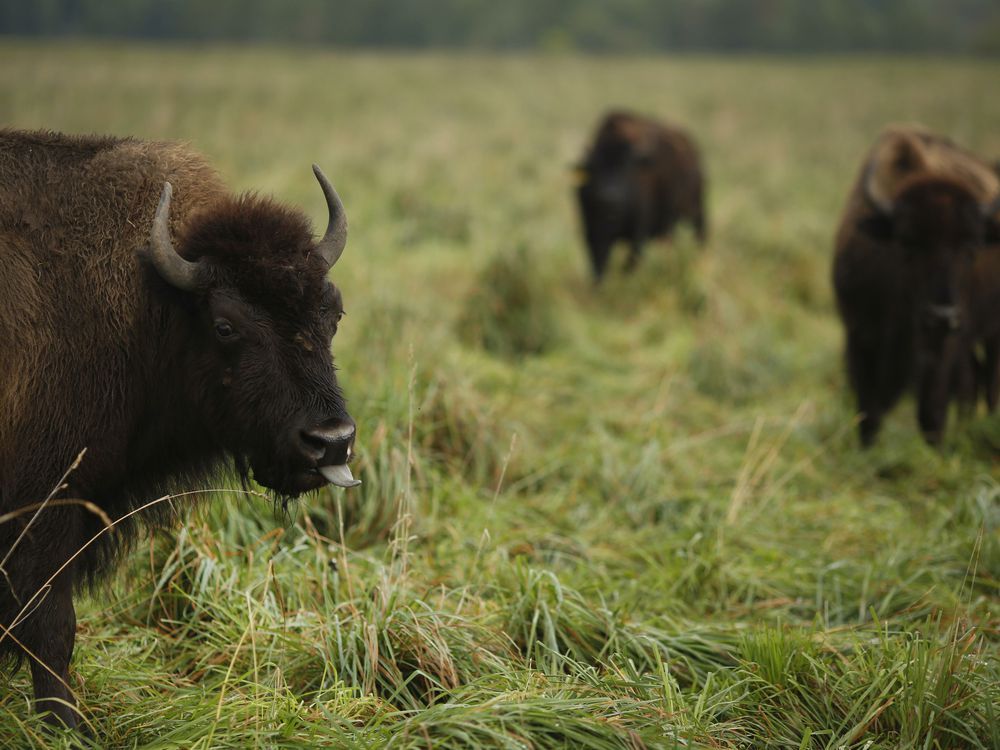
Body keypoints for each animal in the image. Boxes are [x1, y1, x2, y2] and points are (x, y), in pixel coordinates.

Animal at [0, 129, 360, 728]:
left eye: (332, 313)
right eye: (225, 325)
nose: (330, 442)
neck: (148, 305)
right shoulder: (45, 506)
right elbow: (52, 629)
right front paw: (67, 728)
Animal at [575, 110, 706, 281]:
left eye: (627, 165)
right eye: (595, 167)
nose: (609, 197)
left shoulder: (638, 234)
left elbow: (629, 264)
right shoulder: (595, 235)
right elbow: (599, 268)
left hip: (695, 211)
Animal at [832, 125, 1000, 446]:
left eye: (971, 248)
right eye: (907, 243)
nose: (941, 316)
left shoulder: (941, 350)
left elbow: (931, 412)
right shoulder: (860, 335)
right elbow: (869, 412)